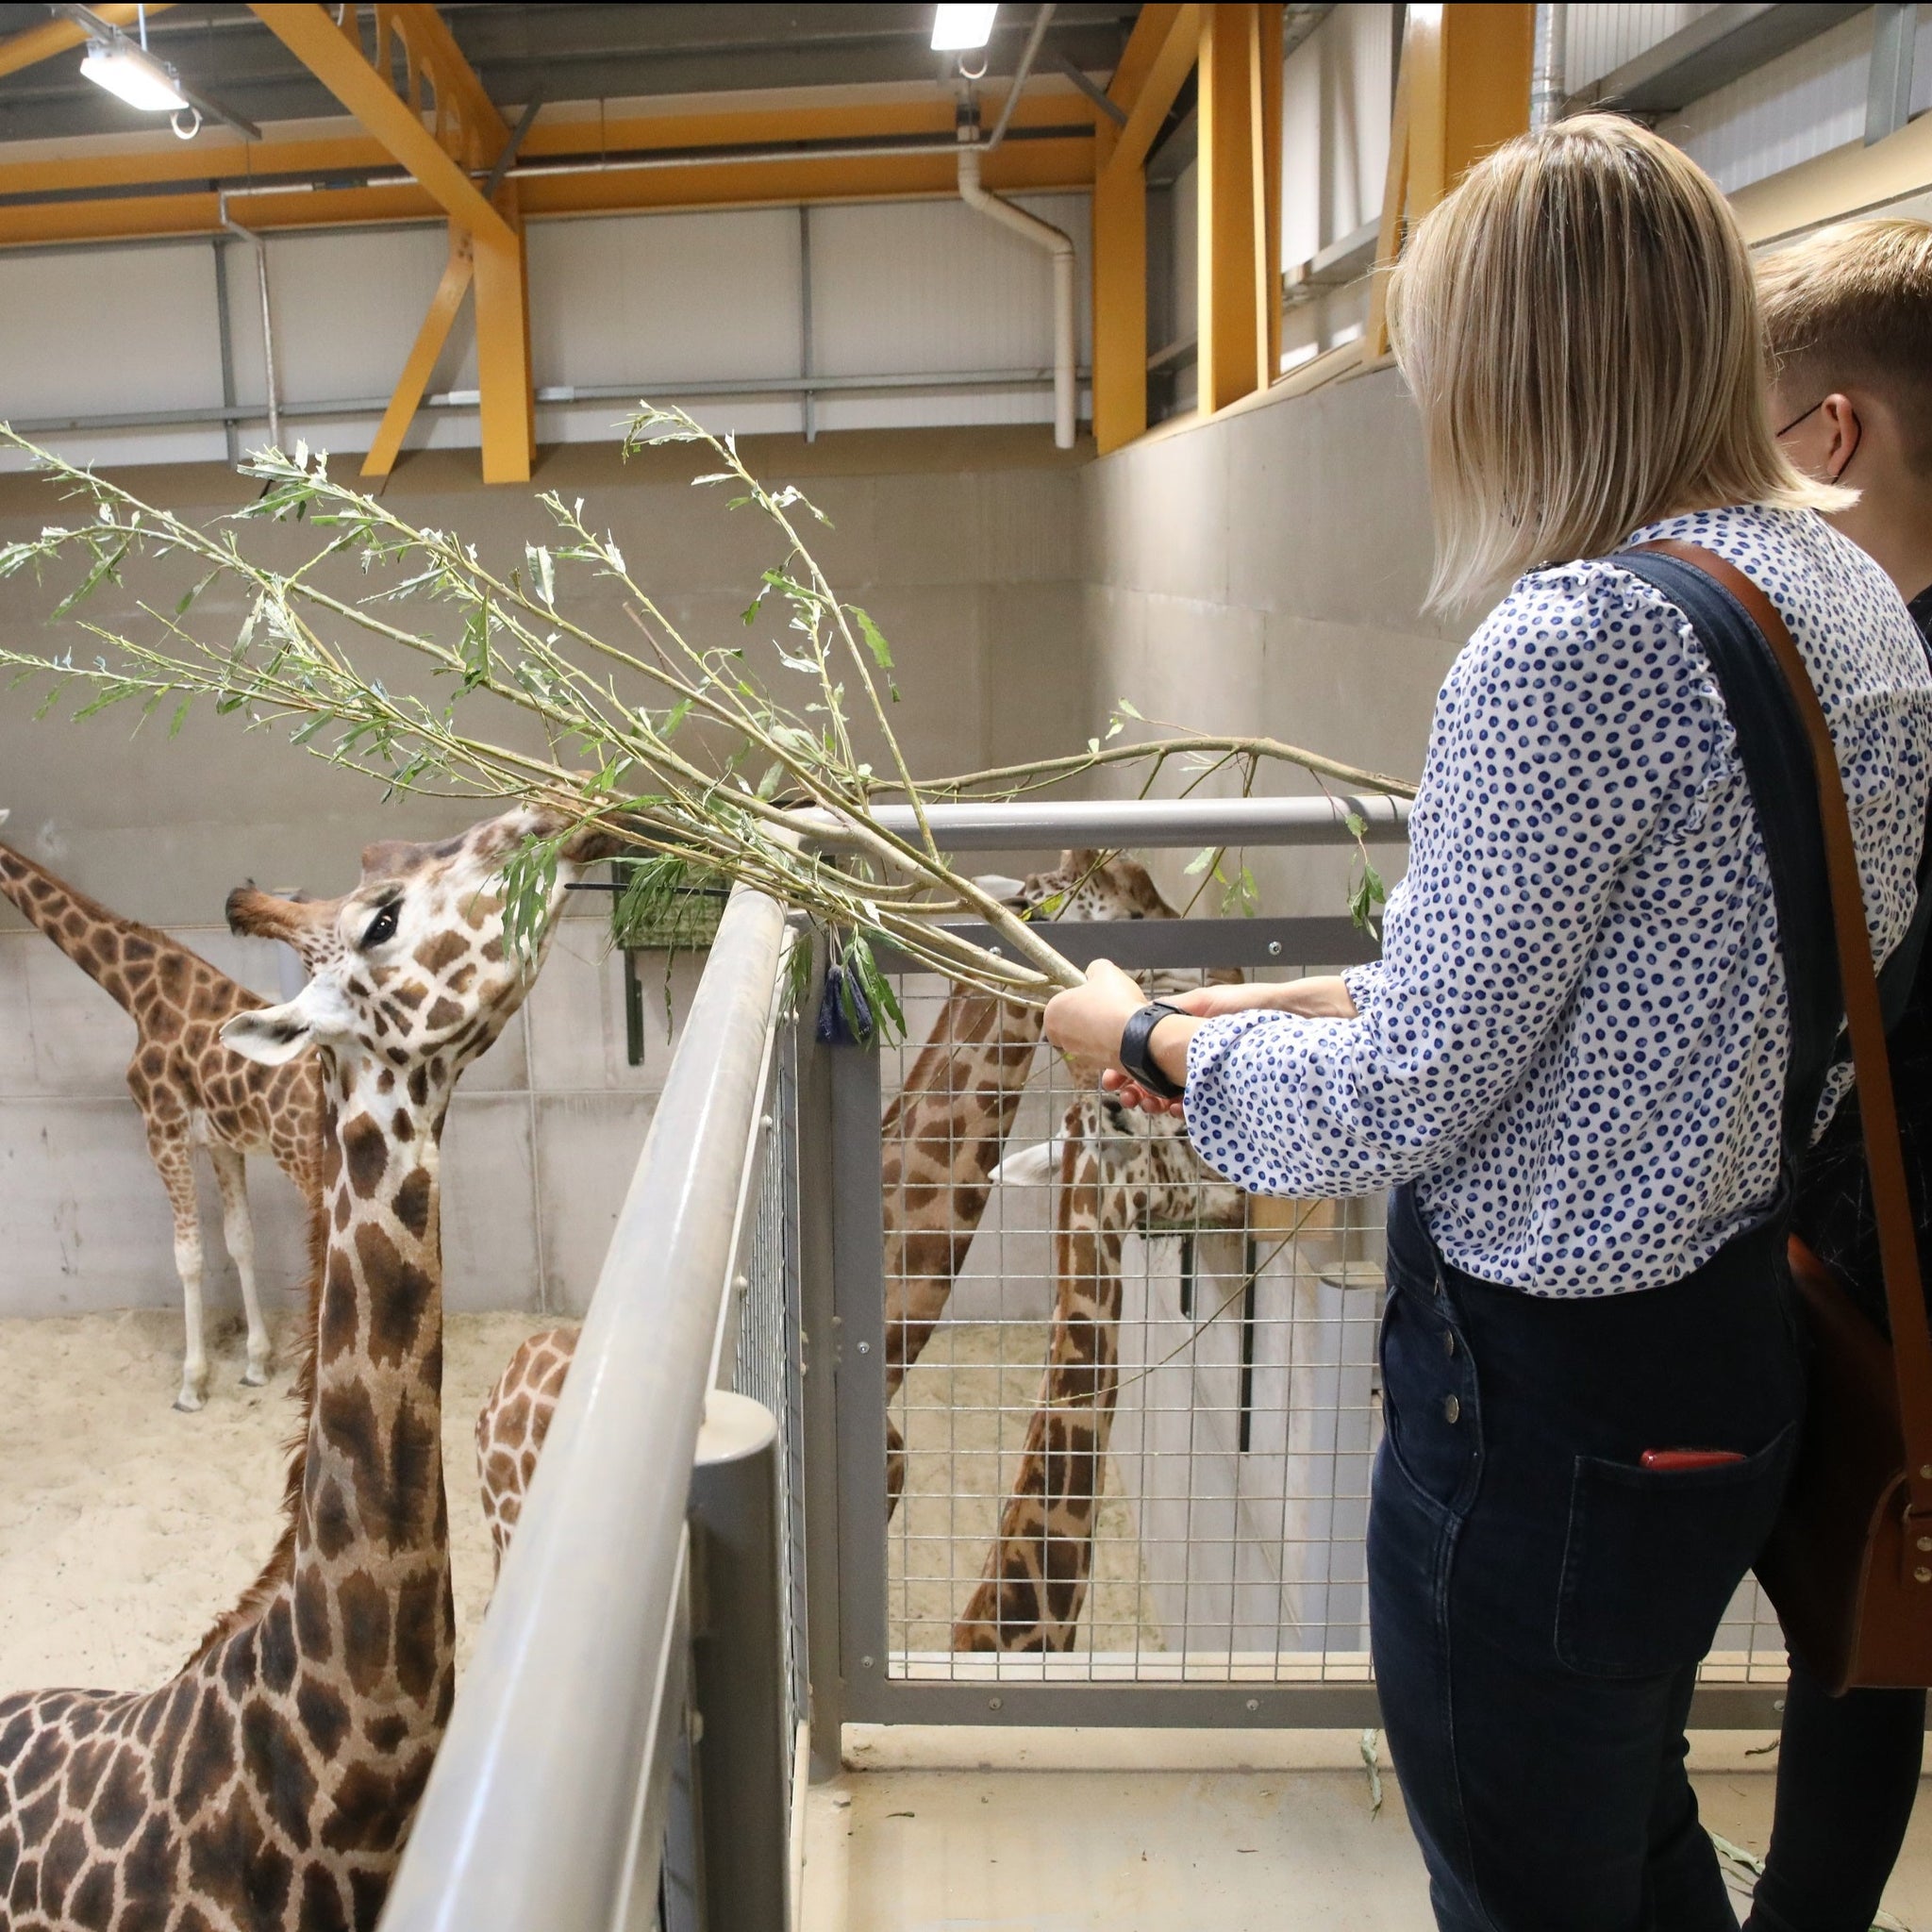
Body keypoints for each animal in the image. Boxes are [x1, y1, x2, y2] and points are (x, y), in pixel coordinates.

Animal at [0, 812, 323, 1410]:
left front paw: (192, 1384)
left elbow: (188, 1256)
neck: (136, 992)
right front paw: (255, 1364)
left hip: (301, 1157)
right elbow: (240, 1240)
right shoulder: (222, 1142)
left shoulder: (161, 1130)